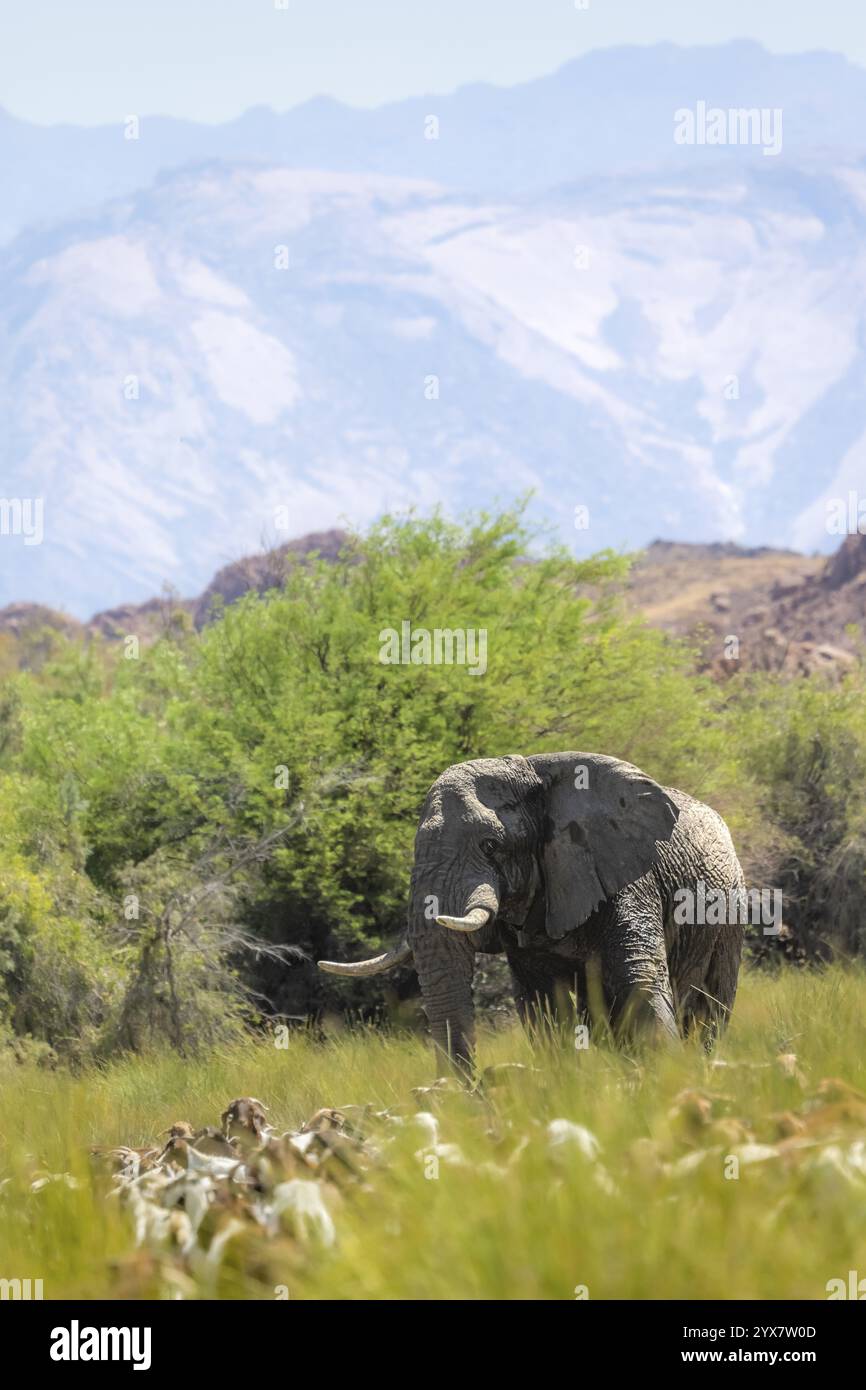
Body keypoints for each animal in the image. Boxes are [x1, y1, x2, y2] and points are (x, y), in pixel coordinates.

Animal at [318, 753, 745, 1071]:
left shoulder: (625, 877)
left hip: (729, 913)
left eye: (490, 845)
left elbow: (638, 981)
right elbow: (544, 1007)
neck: (533, 773)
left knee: (709, 1004)